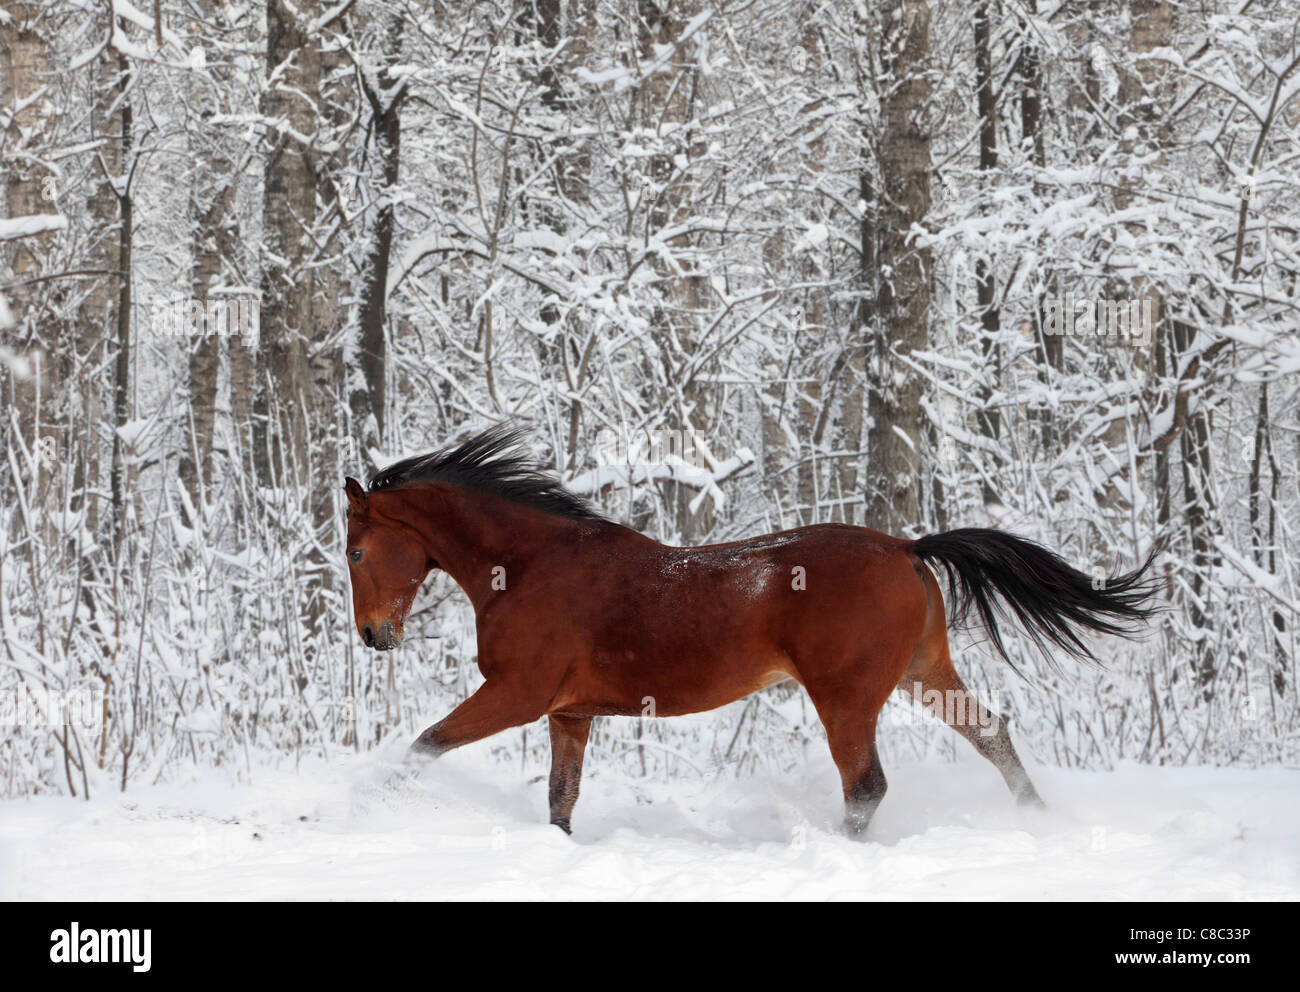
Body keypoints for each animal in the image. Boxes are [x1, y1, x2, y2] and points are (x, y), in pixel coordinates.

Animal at [343, 425, 1156, 836]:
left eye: (353, 551)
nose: (374, 637)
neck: (531, 566)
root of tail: (906, 547)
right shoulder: (569, 713)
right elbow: (559, 801)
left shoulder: (517, 694)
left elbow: (423, 747)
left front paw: (367, 808)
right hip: (923, 674)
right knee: (991, 733)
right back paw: (1040, 820)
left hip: (846, 697)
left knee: (866, 786)